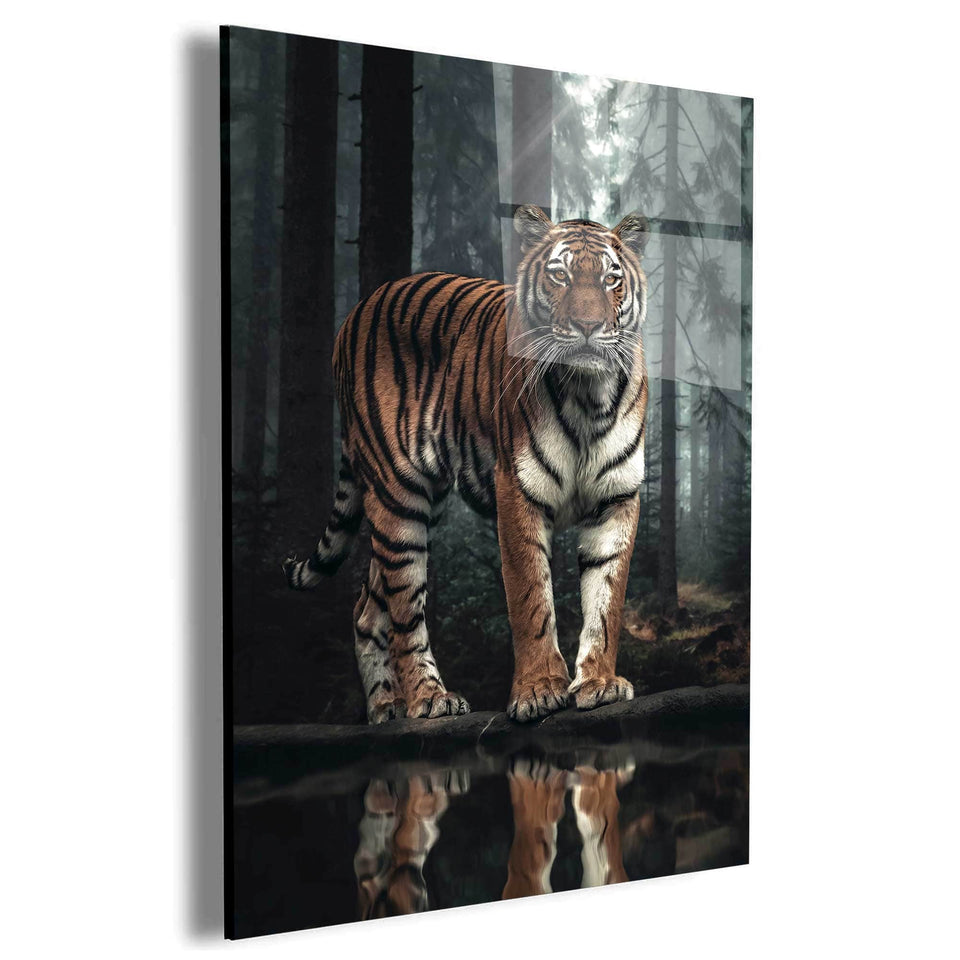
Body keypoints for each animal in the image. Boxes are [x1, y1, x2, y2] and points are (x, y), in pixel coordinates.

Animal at [283, 204, 650, 724]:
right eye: (559, 275)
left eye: (611, 279)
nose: (586, 327)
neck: (588, 394)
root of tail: (357, 309)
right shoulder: (516, 490)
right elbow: (531, 598)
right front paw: (539, 691)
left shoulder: (616, 498)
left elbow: (607, 600)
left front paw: (598, 683)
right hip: (398, 499)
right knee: (403, 610)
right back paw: (428, 699)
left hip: (418, 504)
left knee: (367, 608)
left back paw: (385, 707)